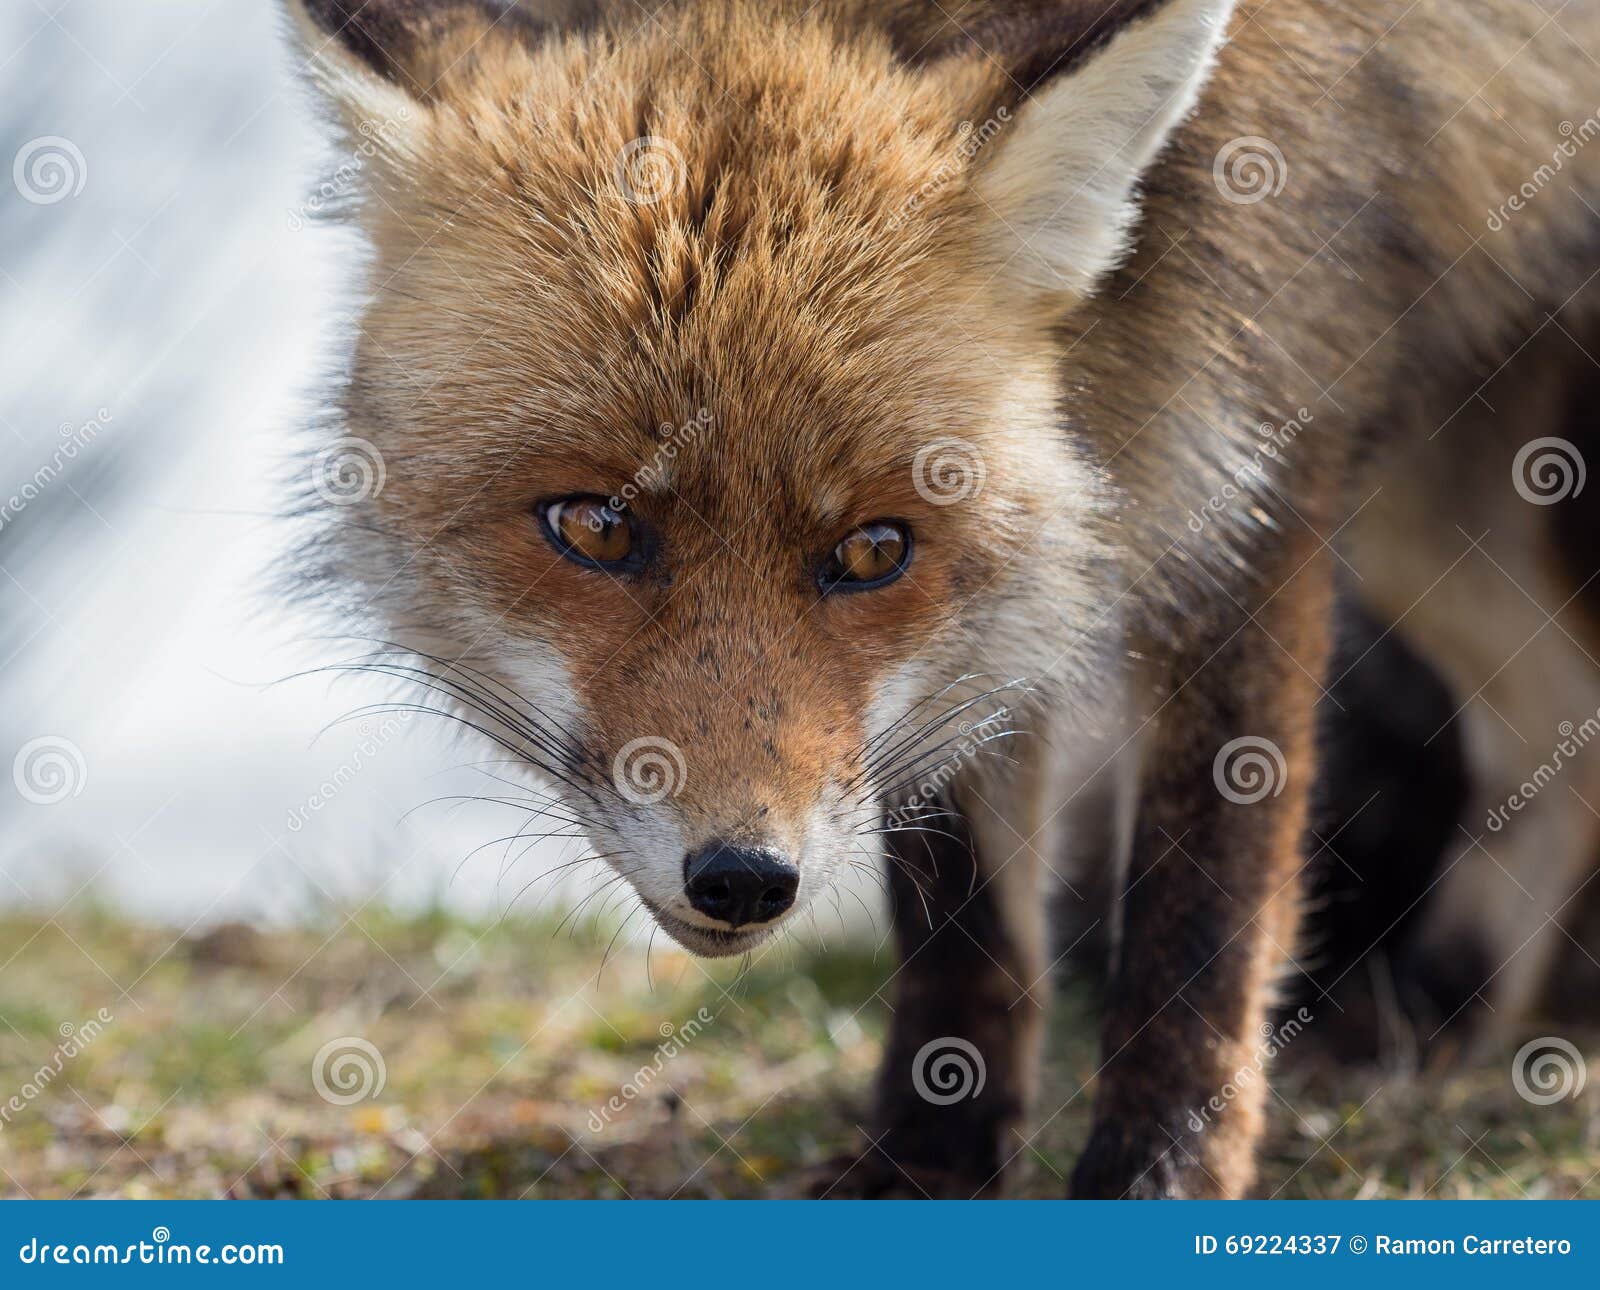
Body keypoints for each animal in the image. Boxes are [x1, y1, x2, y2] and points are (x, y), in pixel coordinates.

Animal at [284, 0, 1600, 1197]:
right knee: (1550, 711)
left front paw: (1154, 1181)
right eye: (596, 526)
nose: (743, 879)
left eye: (872, 550)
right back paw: (1440, 1011)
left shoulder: (1262, 418)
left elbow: (1202, 900)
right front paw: (928, 1158)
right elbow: (959, 901)